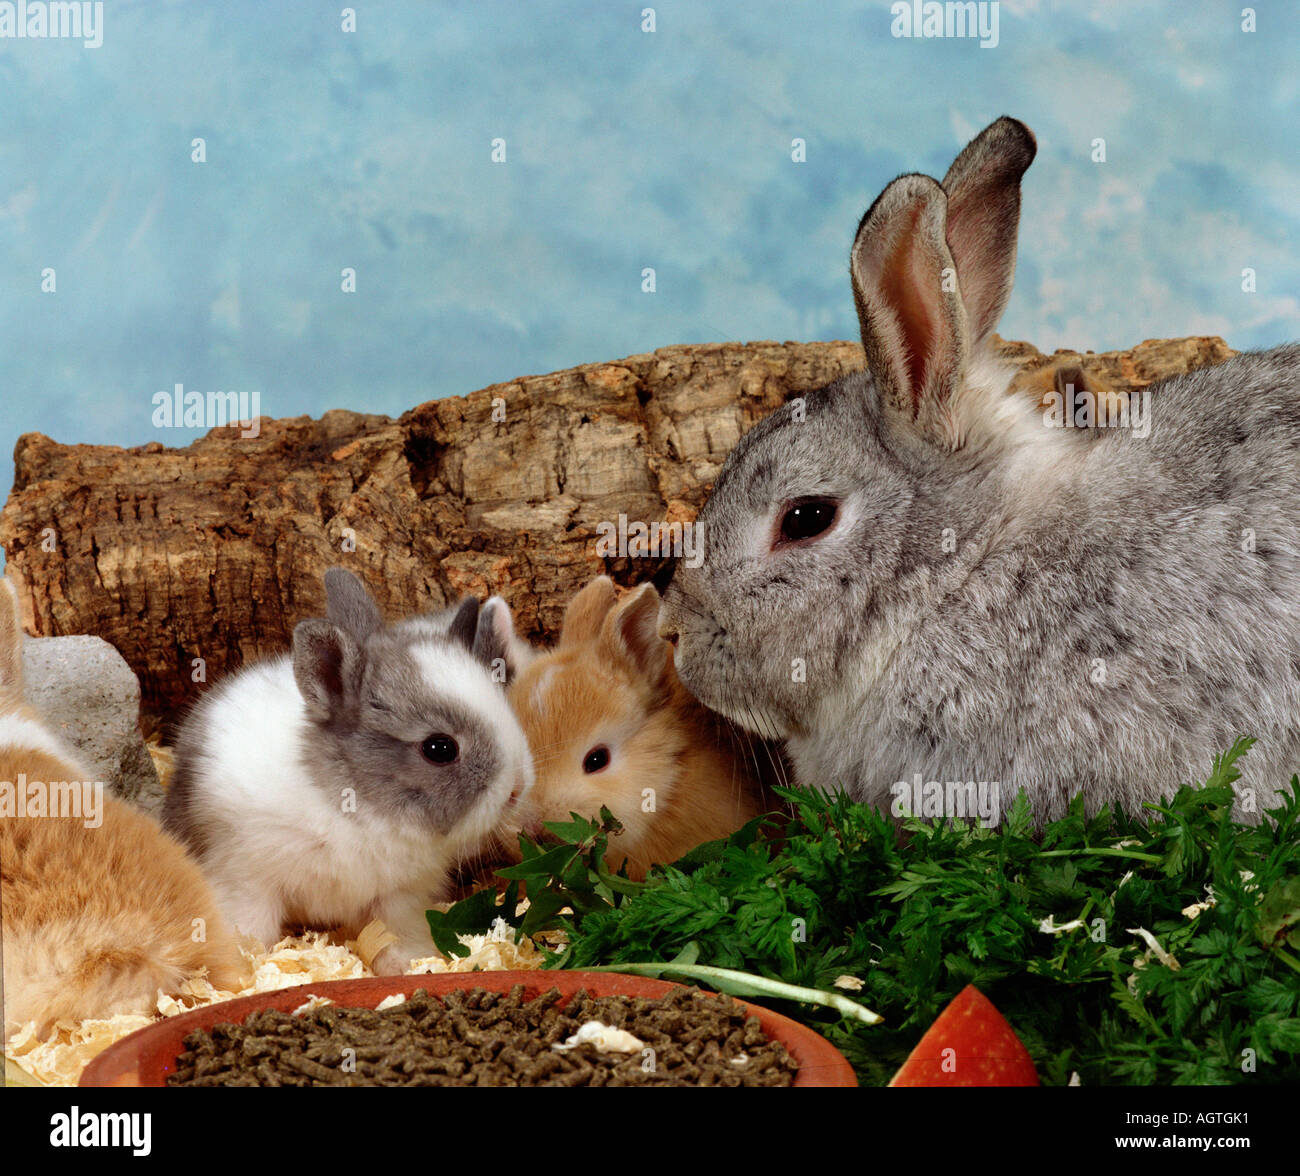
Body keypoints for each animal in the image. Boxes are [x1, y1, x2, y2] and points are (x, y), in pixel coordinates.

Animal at [162, 568, 535, 974]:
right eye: (440, 748)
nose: (517, 789)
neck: (360, 807)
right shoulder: (247, 880)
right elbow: (251, 929)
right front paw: (243, 967)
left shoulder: (399, 895)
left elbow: (397, 932)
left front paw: (409, 965)